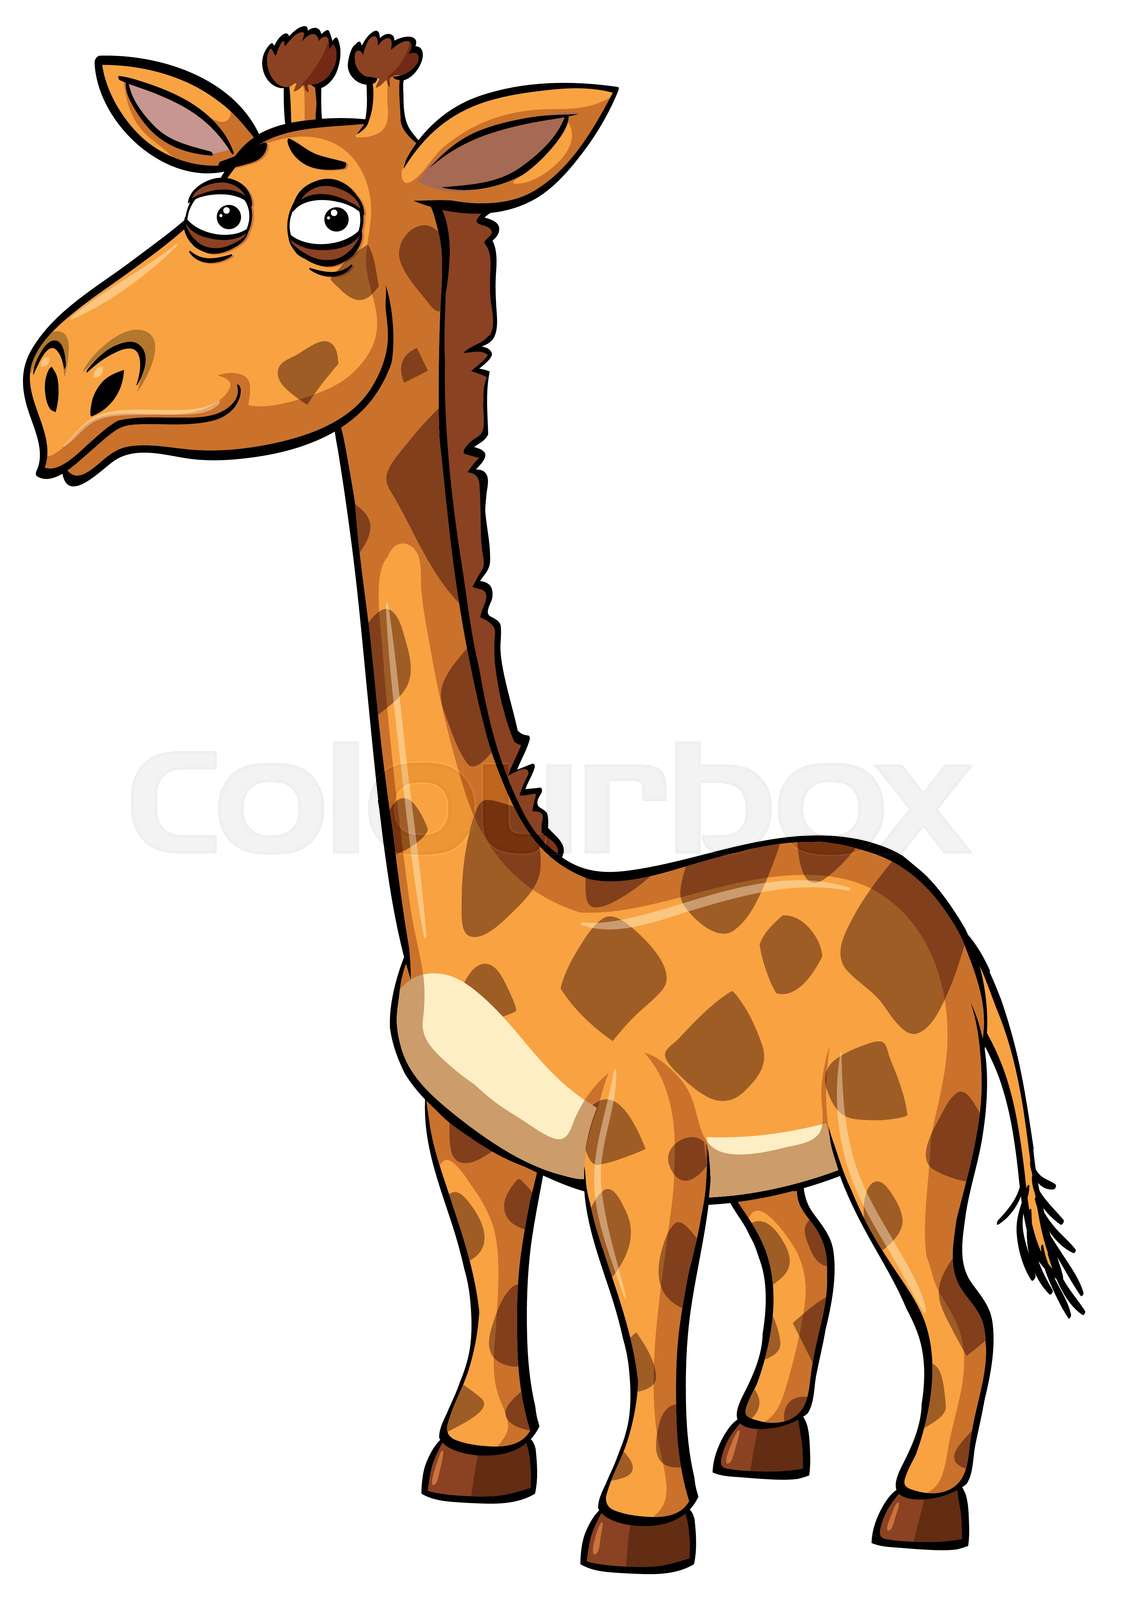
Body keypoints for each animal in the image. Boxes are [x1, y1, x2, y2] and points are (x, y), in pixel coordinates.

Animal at [25, 28, 1082, 1573]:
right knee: (811, 1262)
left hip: (903, 1127)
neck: (494, 913)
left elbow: (644, 1316)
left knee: (958, 1307)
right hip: (784, 1158)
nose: (64, 386)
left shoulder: (644, 1152)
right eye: (208, 198)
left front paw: (637, 1523)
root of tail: (958, 935)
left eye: (322, 218)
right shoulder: (468, 1134)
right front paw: (476, 1461)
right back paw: (768, 1447)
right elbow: (492, 1278)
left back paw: (919, 1508)